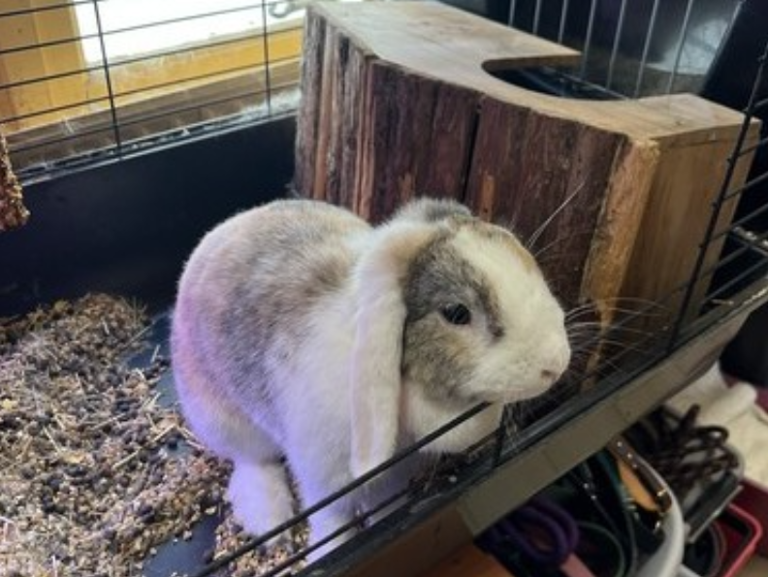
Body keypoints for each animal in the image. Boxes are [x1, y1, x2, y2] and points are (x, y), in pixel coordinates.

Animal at [170, 197, 571, 558]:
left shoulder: (391, 479)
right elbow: (332, 521)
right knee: (253, 462)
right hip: (223, 422)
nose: (555, 364)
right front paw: (328, 549)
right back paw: (271, 520)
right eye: (456, 313)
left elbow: (386, 509)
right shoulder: (324, 479)